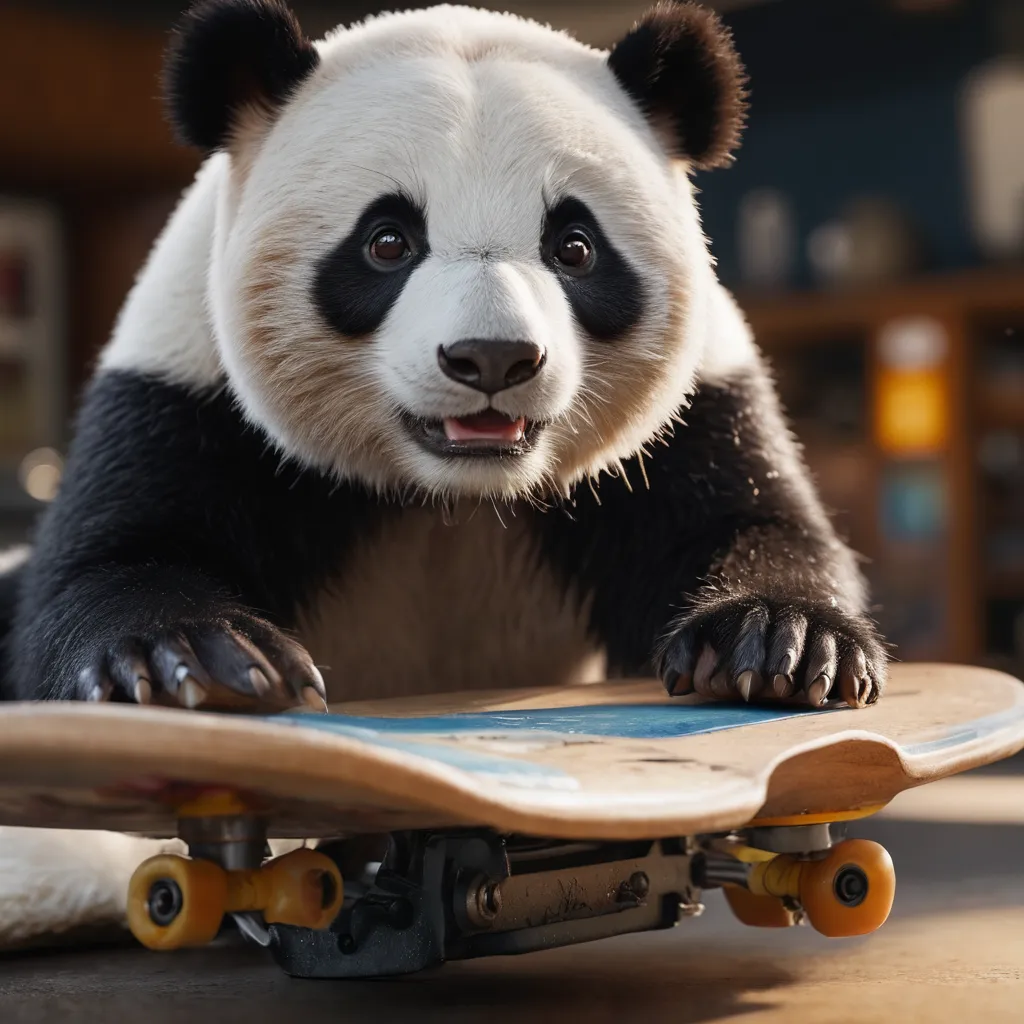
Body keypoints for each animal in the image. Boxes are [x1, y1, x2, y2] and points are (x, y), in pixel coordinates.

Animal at [0, 0, 886, 946]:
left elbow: (741, 520)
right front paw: (197, 662)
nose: (492, 357)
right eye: (388, 240)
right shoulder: (188, 388)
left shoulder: (689, 414)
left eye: (576, 246)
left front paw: (783, 643)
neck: (452, 492)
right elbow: (114, 557)